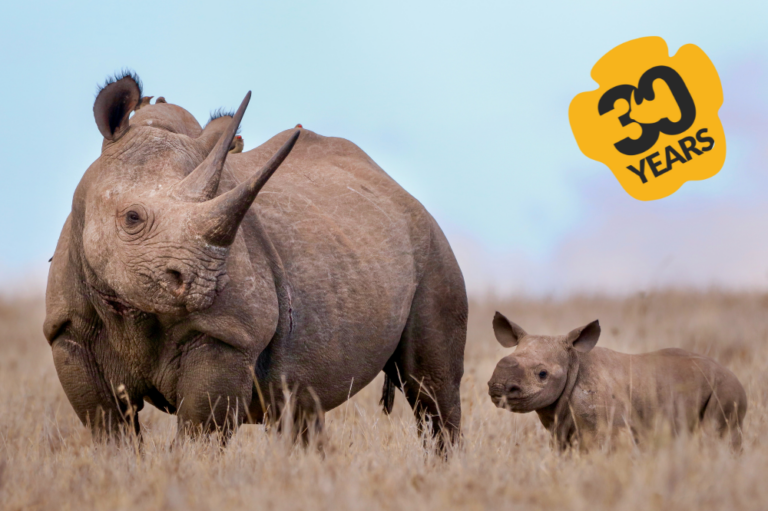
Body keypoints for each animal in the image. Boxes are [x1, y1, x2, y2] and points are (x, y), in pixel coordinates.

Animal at [44, 72, 467, 447]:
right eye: (132, 218)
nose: (201, 283)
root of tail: (397, 188)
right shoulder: (69, 330)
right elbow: (108, 429)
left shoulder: (229, 333)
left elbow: (200, 432)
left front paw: (189, 474)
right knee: (302, 406)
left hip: (431, 244)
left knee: (432, 389)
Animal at [488, 312, 747, 449]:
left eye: (542, 374)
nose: (498, 387)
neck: (574, 363)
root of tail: (736, 377)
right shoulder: (560, 430)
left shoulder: (607, 429)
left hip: (726, 388)